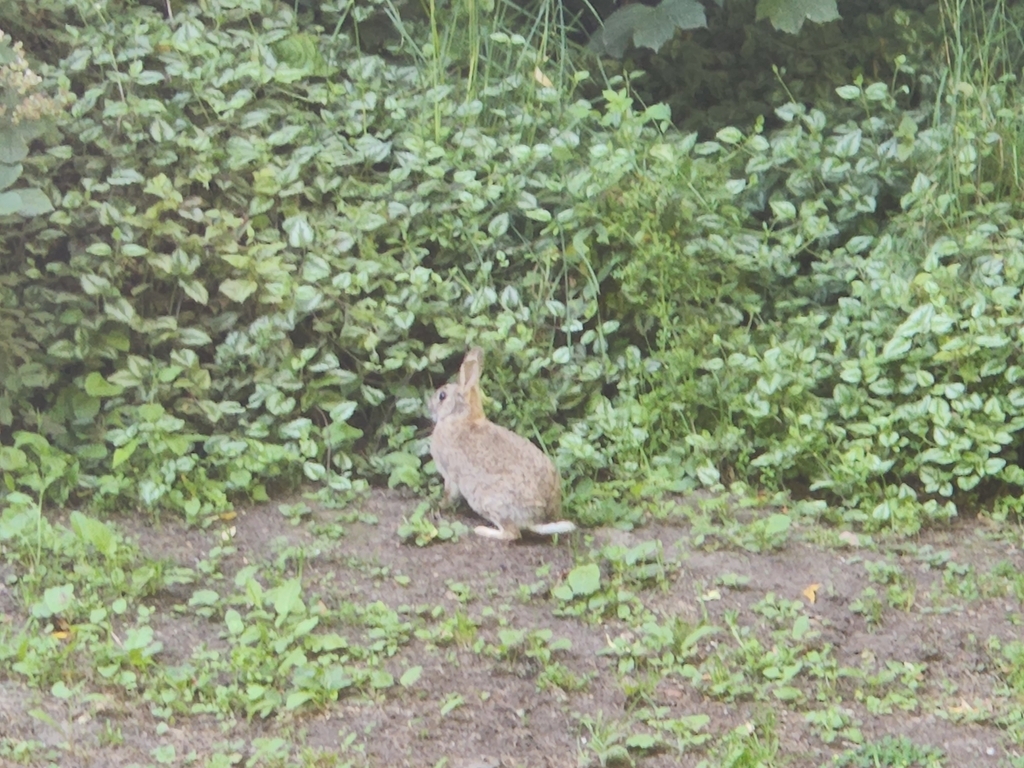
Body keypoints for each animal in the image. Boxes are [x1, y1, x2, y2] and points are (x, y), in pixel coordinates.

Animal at [428, 347, 575, 541]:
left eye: (442, 396)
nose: (429, 406)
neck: (461, 418)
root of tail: (538, 518)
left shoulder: (450, 475)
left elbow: (449, 493)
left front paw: (440, 504)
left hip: (489, 500)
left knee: (512, 533)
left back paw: (482, 530)